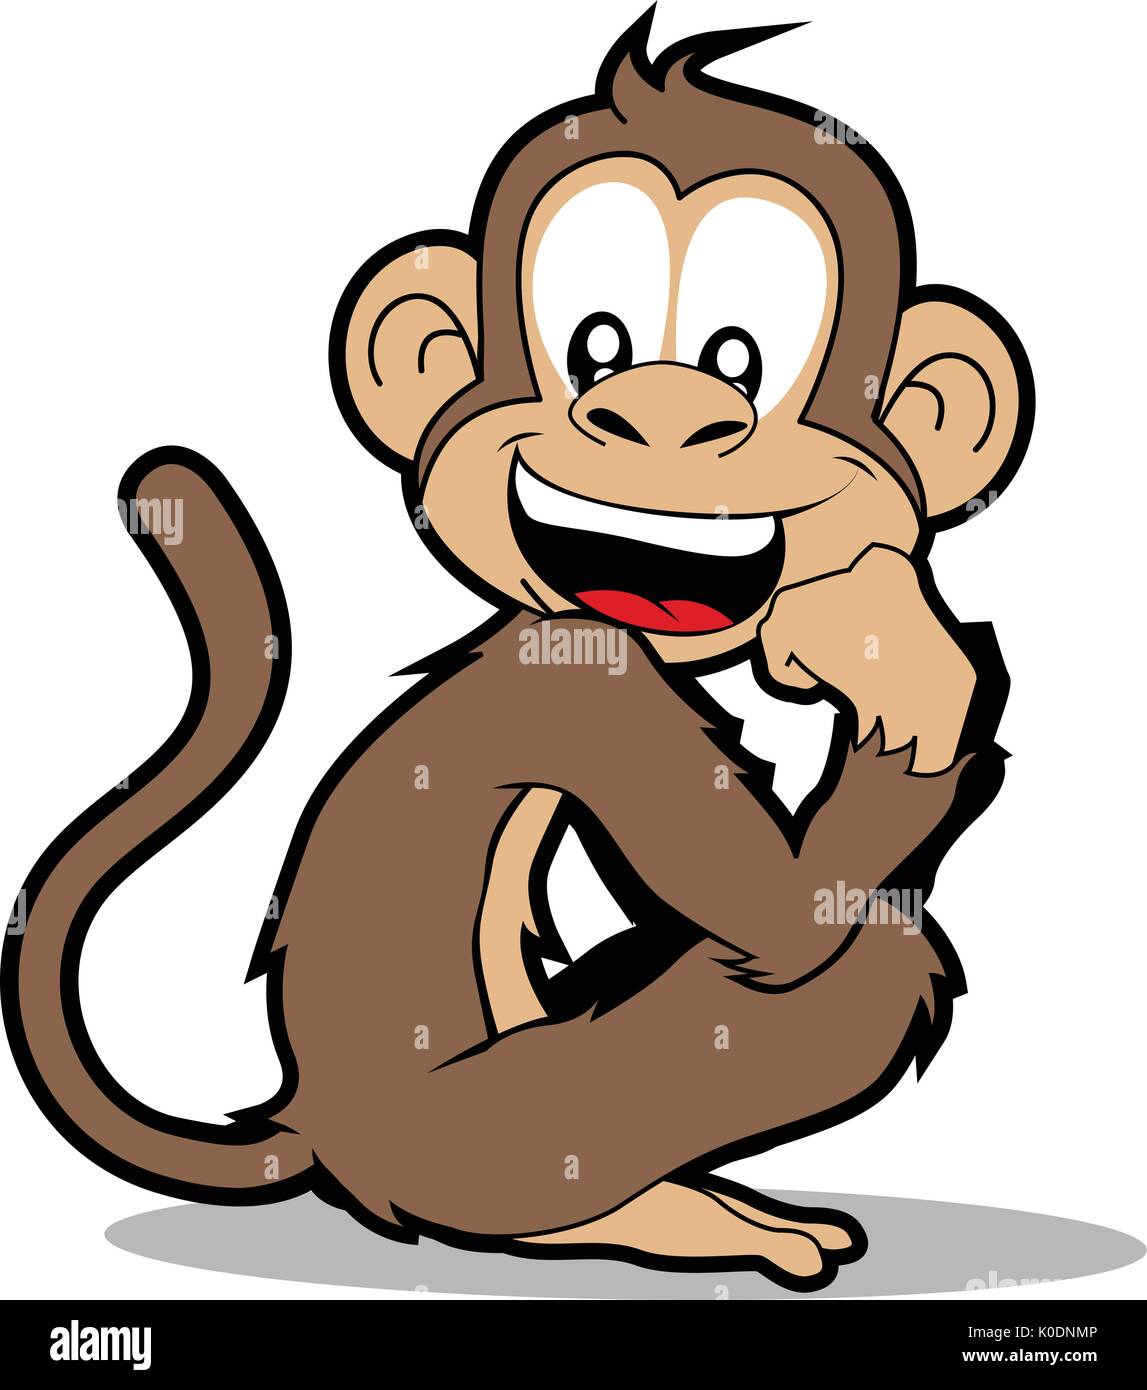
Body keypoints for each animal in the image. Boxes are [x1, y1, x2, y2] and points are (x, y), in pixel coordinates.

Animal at [4, 13, 1033, 1289]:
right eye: (595, 346)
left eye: (739, 358)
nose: (662, 414)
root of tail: (312, 1124)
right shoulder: (596, 685)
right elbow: (786, 920)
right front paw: (901, 663)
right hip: (519, 1129)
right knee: (871, 953)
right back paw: (673, 1222)